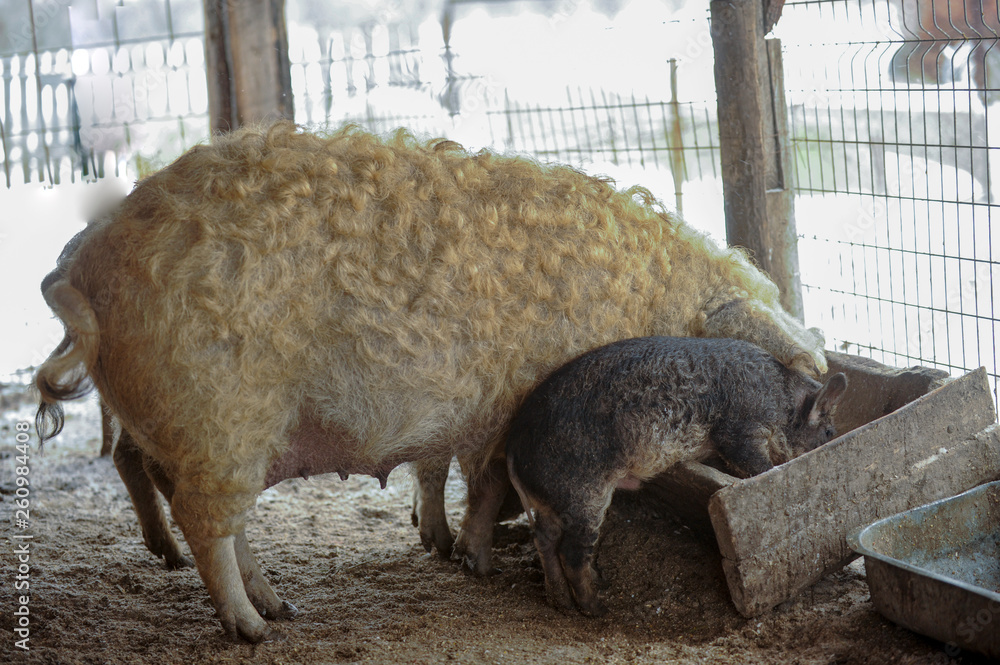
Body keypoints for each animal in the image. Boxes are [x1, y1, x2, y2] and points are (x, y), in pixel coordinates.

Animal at [505, 336, 848, 616]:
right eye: (829, 432)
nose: (832, 440)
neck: (781, 401)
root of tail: (512, 447)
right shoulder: (741, 429)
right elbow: (754, 463)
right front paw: (771, 472)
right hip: (582, 494)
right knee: (571, 552)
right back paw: (597, 609)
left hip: (553, 501)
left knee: (544, 538)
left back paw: (566, 600)